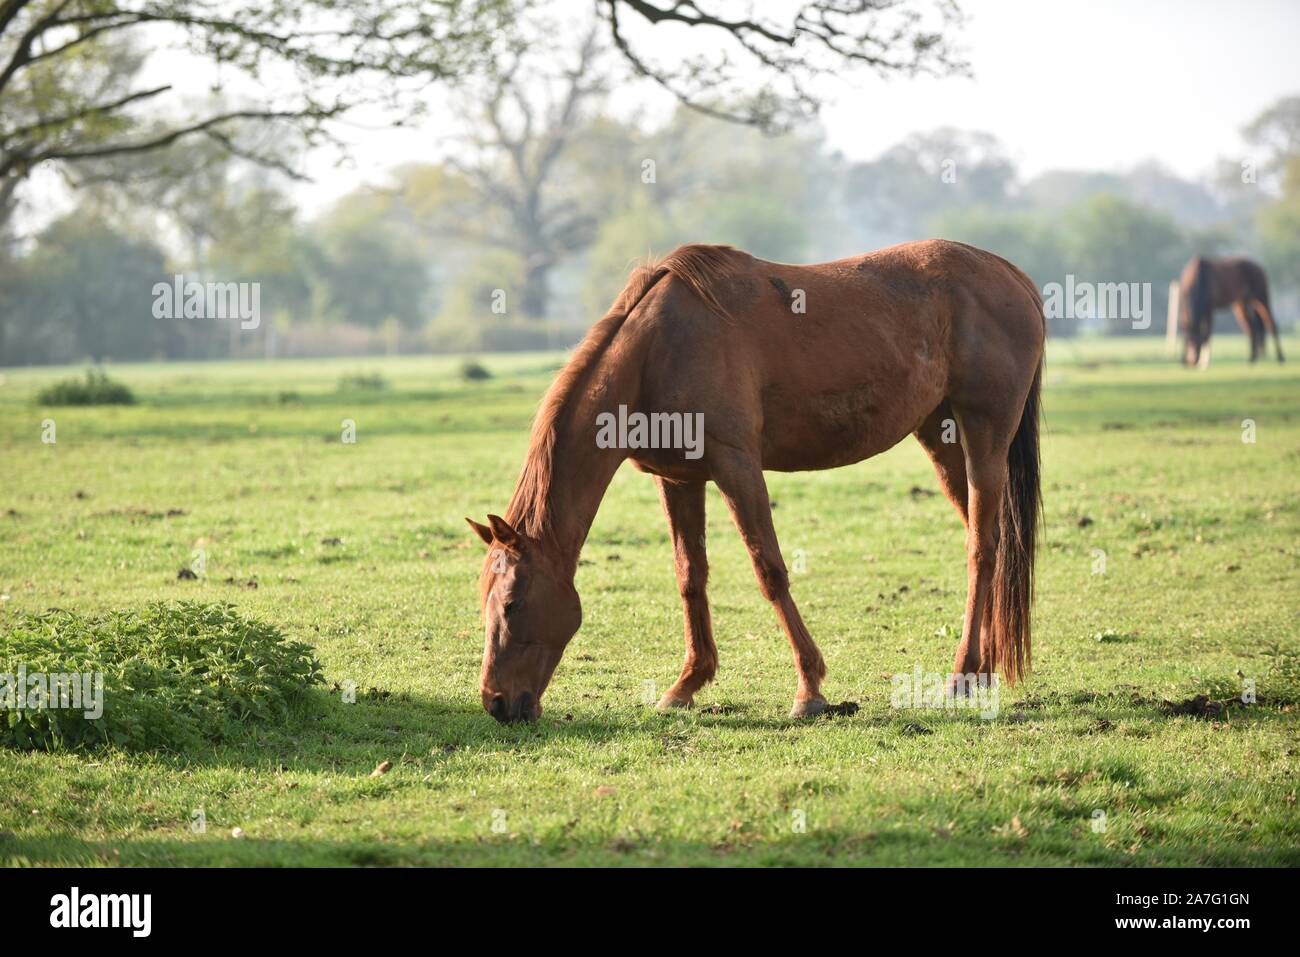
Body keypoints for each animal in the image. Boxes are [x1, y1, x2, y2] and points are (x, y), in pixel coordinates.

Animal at [467, 240, 1045, 723]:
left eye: (513, 603)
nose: (497, 702)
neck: (657, 349)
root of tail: (1013, 275)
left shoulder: (737, 467)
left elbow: (769, 570)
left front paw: (810, 689)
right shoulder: (678, 479)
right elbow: (690, 574)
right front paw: (687, 684)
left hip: (984, 435)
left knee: (982, 548)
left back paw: (963, 674)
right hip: (941, 438)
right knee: (990, 539)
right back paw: (986, 666)